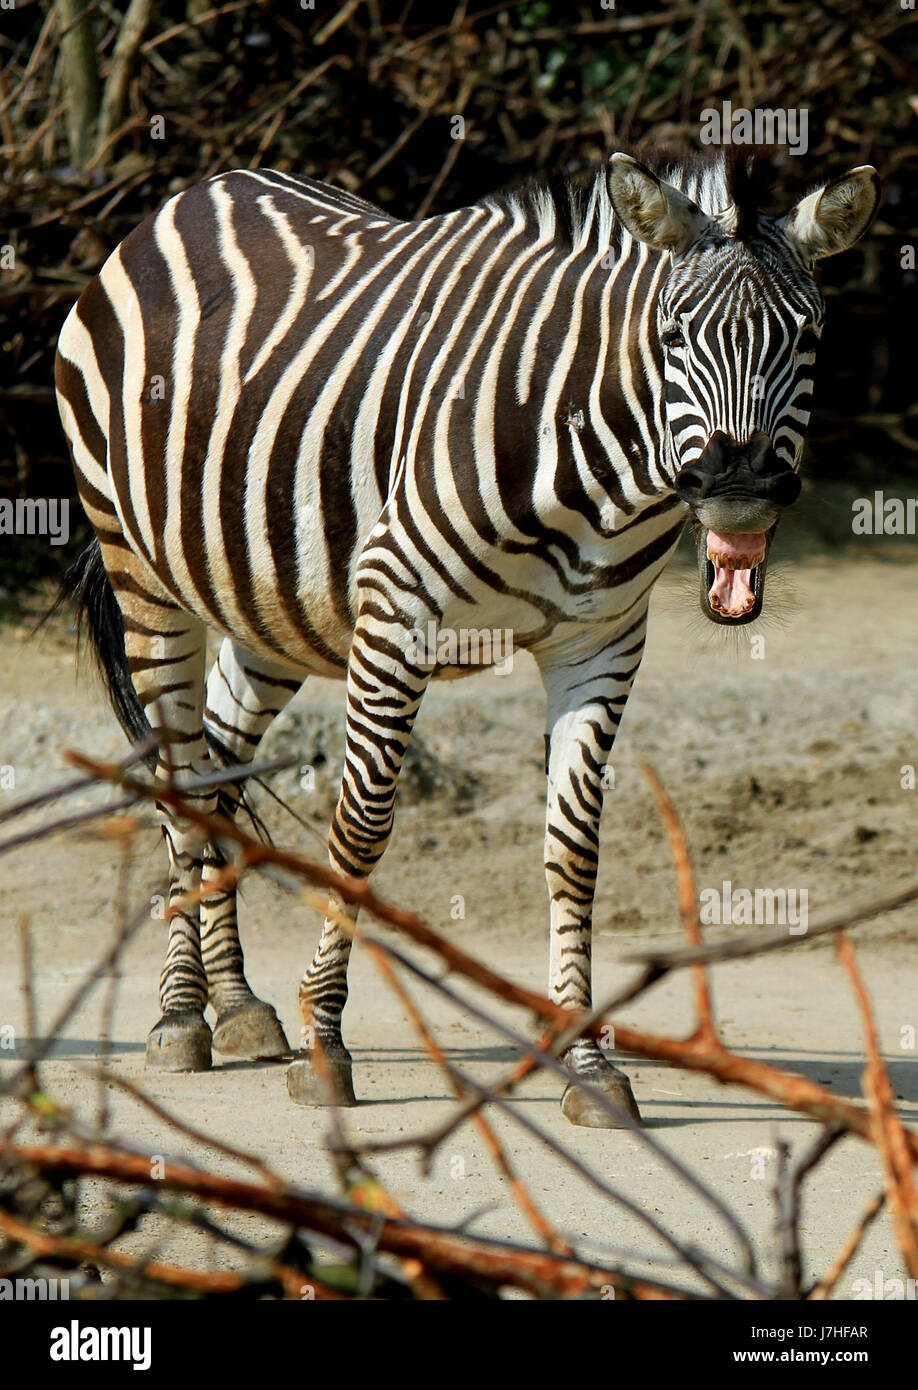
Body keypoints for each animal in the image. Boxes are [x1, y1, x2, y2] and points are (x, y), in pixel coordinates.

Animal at [54, 146, 879, 1128]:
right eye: (674, 336)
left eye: (810, 336)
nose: (742, 493)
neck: (601, 467)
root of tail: (192, 194)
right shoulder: (395, 609)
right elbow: (361, 829)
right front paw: (327, 1042)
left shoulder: (601, 645)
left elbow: (573, 849)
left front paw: (588, 1065)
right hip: (141, 567)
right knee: (179, 778)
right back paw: (182, 1019)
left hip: (271, 608)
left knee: (219, 764)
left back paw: (239, 1006)